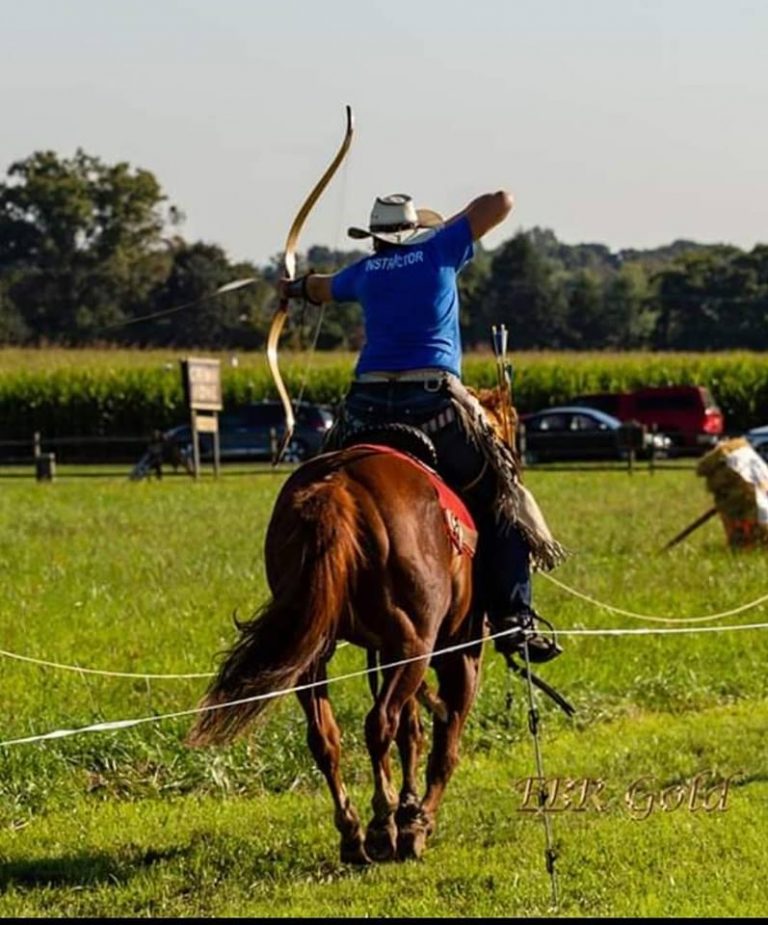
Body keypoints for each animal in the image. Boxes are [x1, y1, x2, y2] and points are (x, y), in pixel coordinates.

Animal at [185, 438, 486, 865]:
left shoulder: (392, 655)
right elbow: (444, 743)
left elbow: (411, 732)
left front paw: (409, 809)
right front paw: (416, 821)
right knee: (380, 724)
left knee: (326, 737)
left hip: (318, 653)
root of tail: (337, 489)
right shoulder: (457, 652)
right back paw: (382, 825)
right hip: (416, 645)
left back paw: (353, 832)